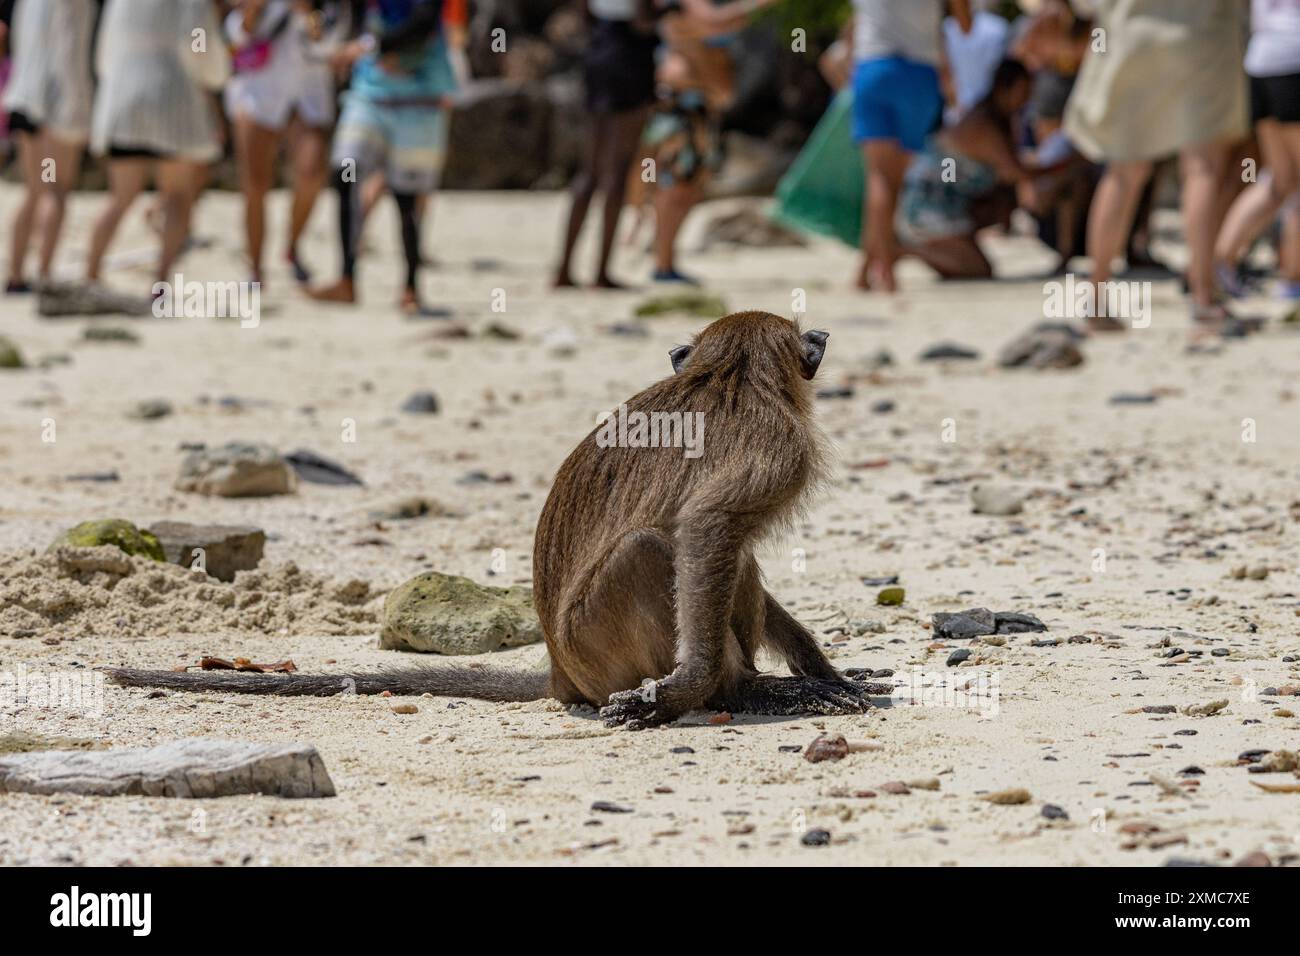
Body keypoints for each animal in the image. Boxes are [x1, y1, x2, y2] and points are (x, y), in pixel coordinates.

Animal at [109, 310, 887, 728]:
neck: (729, 375)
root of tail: (561, 676)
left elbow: (720, 540)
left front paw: (818, 660)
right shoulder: (780, 444)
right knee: (651, 548)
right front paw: (693, 685)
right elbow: (706, 528)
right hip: (598, 646)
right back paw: (742, 689)